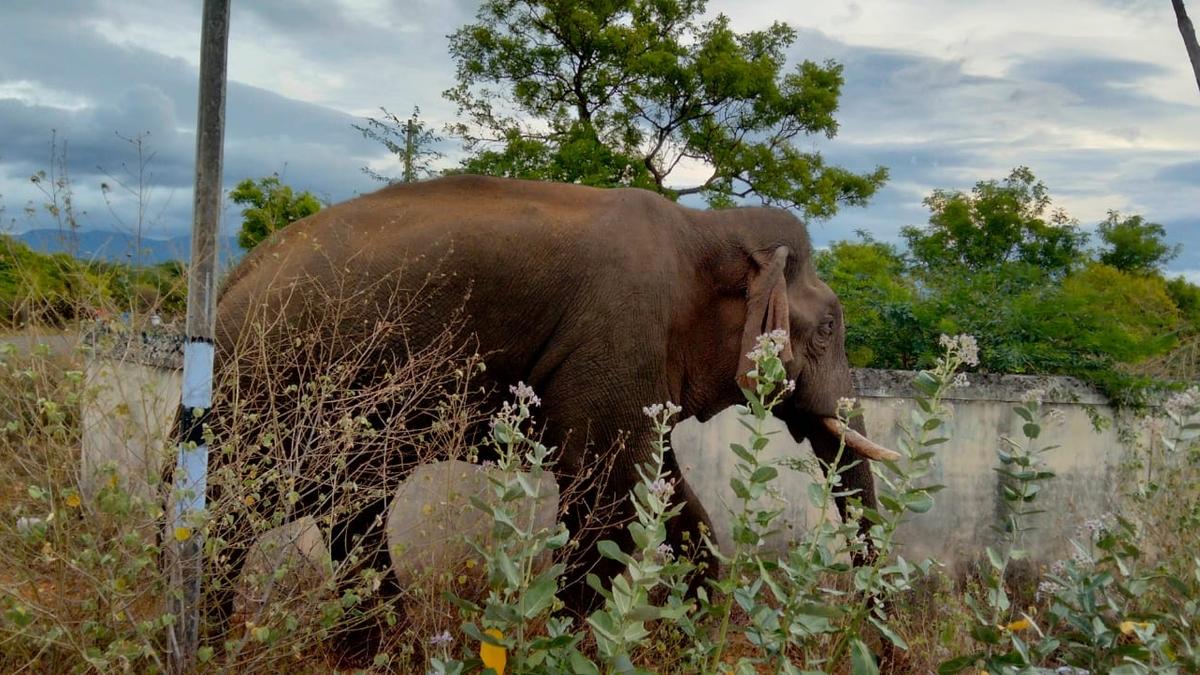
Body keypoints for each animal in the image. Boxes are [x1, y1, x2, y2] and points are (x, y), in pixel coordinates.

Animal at [206, 174, 897, 639]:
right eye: (829, 327)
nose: (870, 637)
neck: (706, 227)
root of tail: (230, 279)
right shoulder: (620, 332)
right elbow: (609, 500)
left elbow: (669, 498)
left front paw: (688, 633)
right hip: (269, 389)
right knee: (242, 511)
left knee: (345, 509)